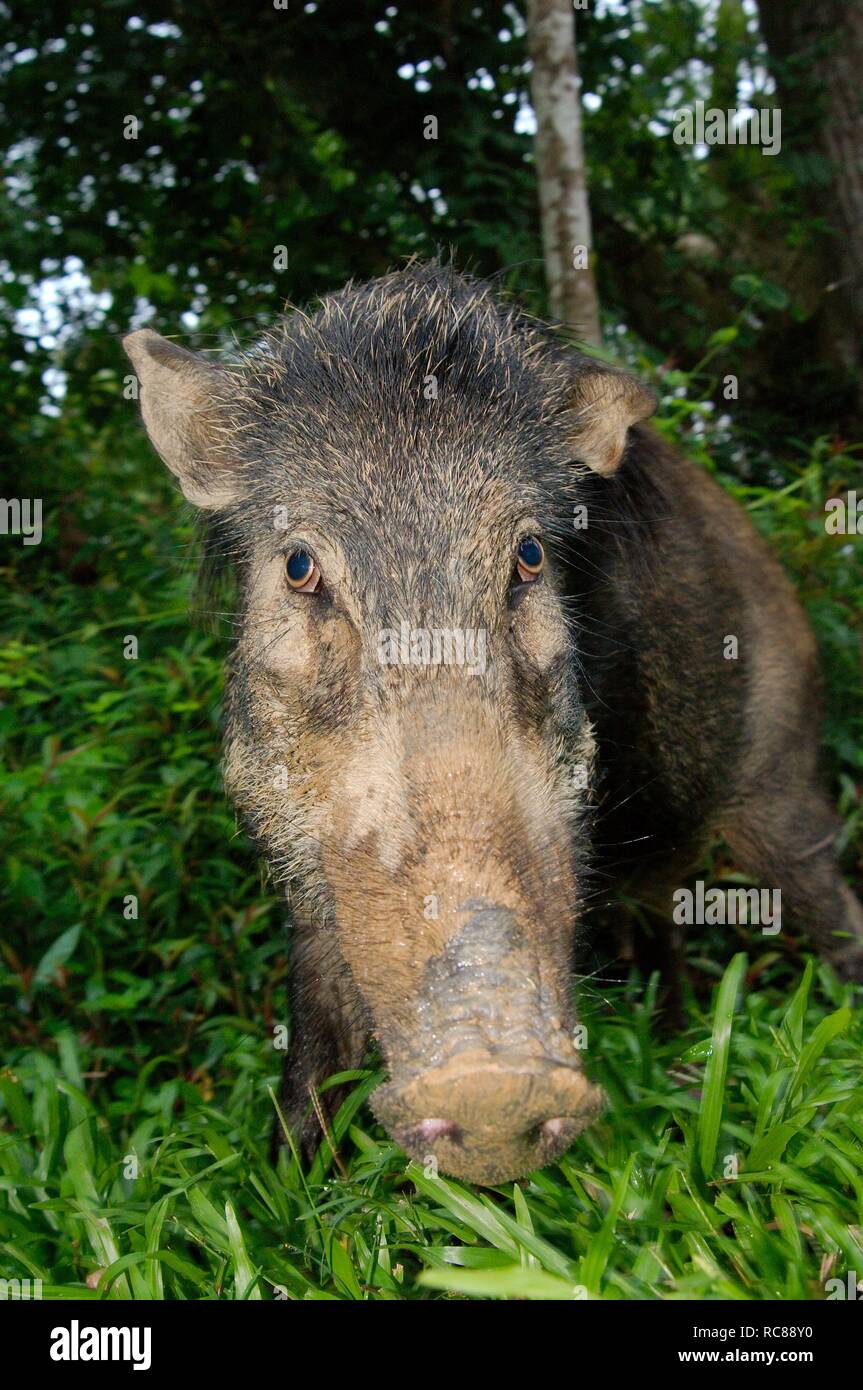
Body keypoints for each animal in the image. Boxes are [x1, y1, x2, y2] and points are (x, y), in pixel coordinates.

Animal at [124, 263, 863, 1185]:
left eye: (529, 557)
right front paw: (289, 1182)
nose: (490, 1084)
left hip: (780, 779)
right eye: (298, 565)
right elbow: (314, 1050)